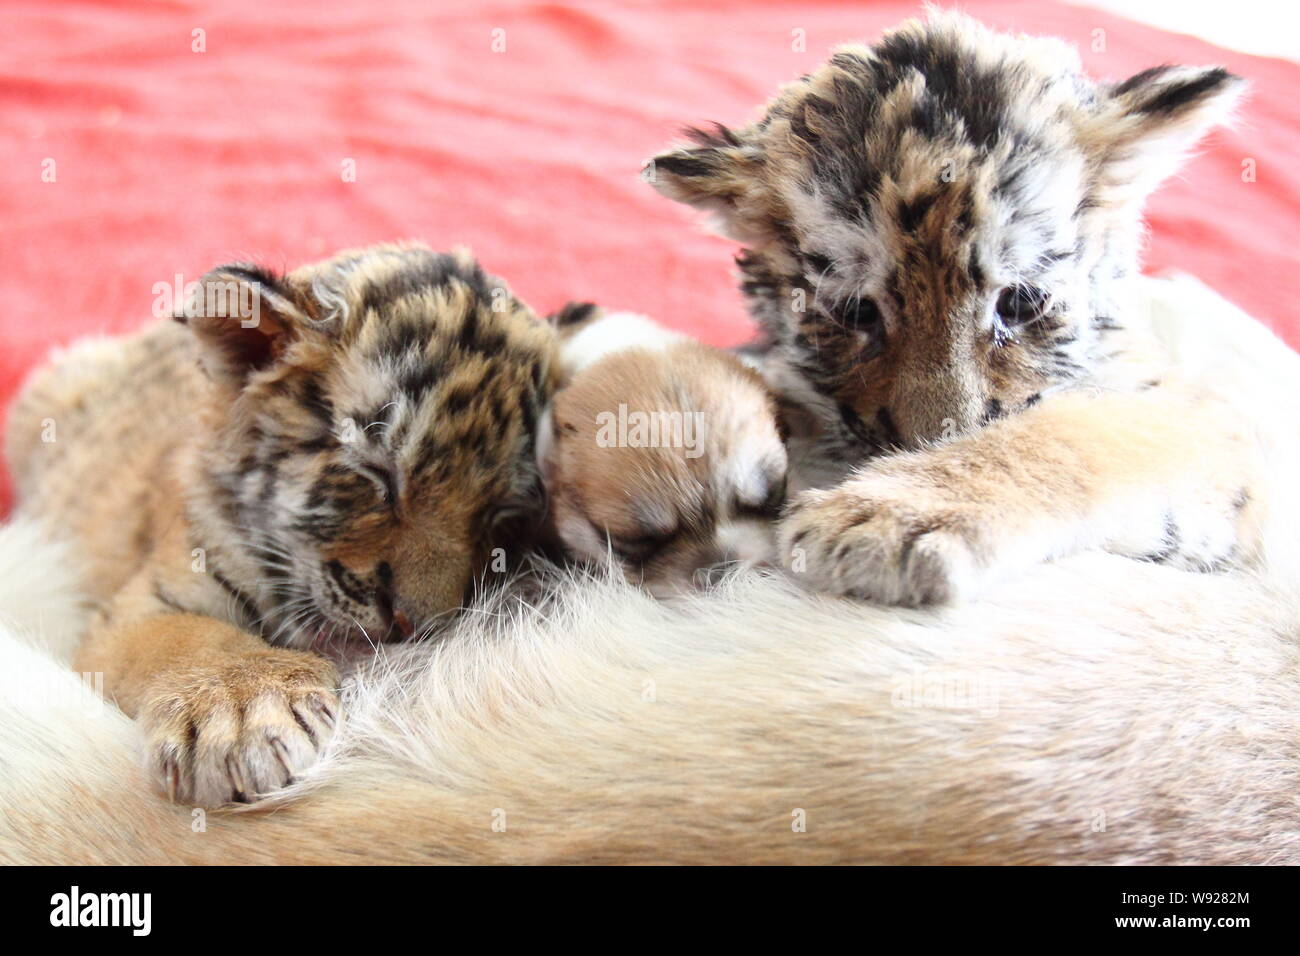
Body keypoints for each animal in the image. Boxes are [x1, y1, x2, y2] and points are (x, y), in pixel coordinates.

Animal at [4, 242, 557, 806]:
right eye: (379, 474)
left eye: (499, 515)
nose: (412, 626)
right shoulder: (145, 601)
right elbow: (193, 638)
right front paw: (241, 713)